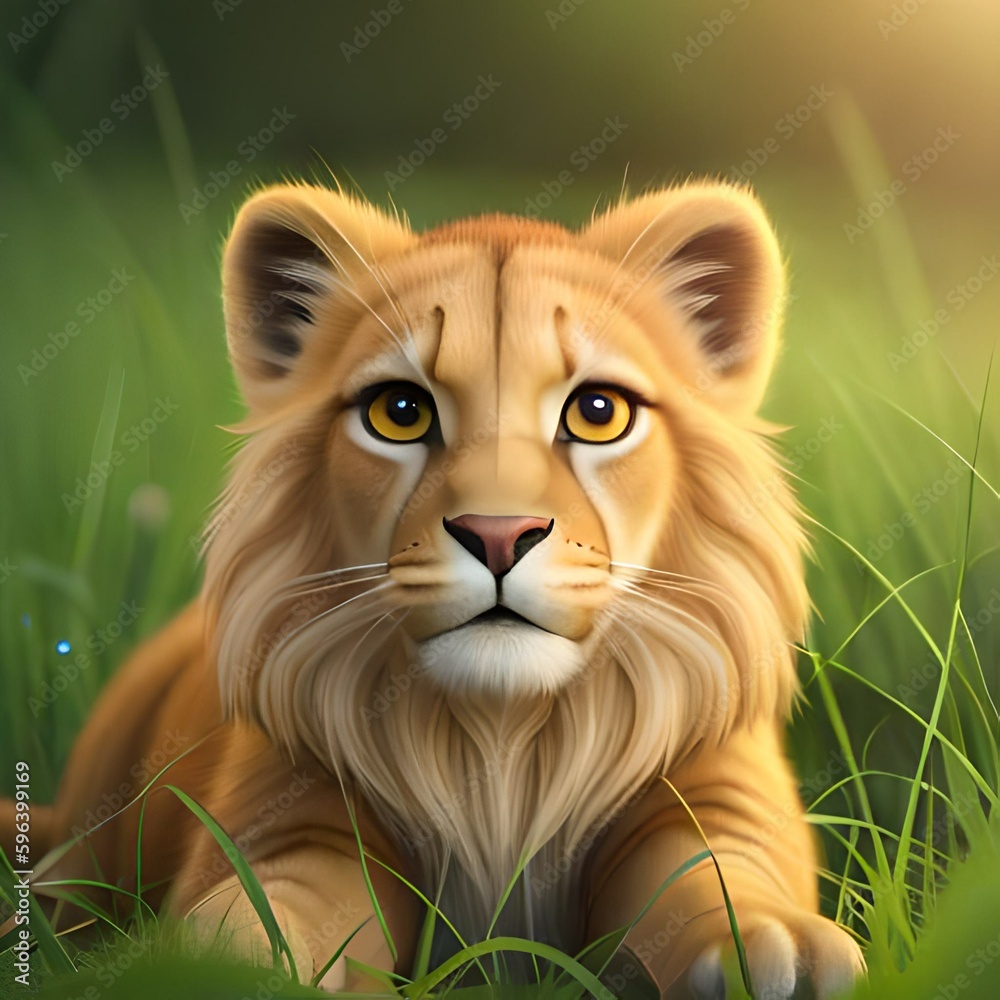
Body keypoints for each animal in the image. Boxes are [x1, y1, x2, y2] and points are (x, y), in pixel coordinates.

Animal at [8, 179, 865, 997]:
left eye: (598, 412)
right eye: (399, 412)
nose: (499, 534)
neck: (504, 740)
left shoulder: (716, 798)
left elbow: (714, 874)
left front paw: (776, 945)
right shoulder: (298, 821)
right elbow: (276, 902)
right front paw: (222, 961)